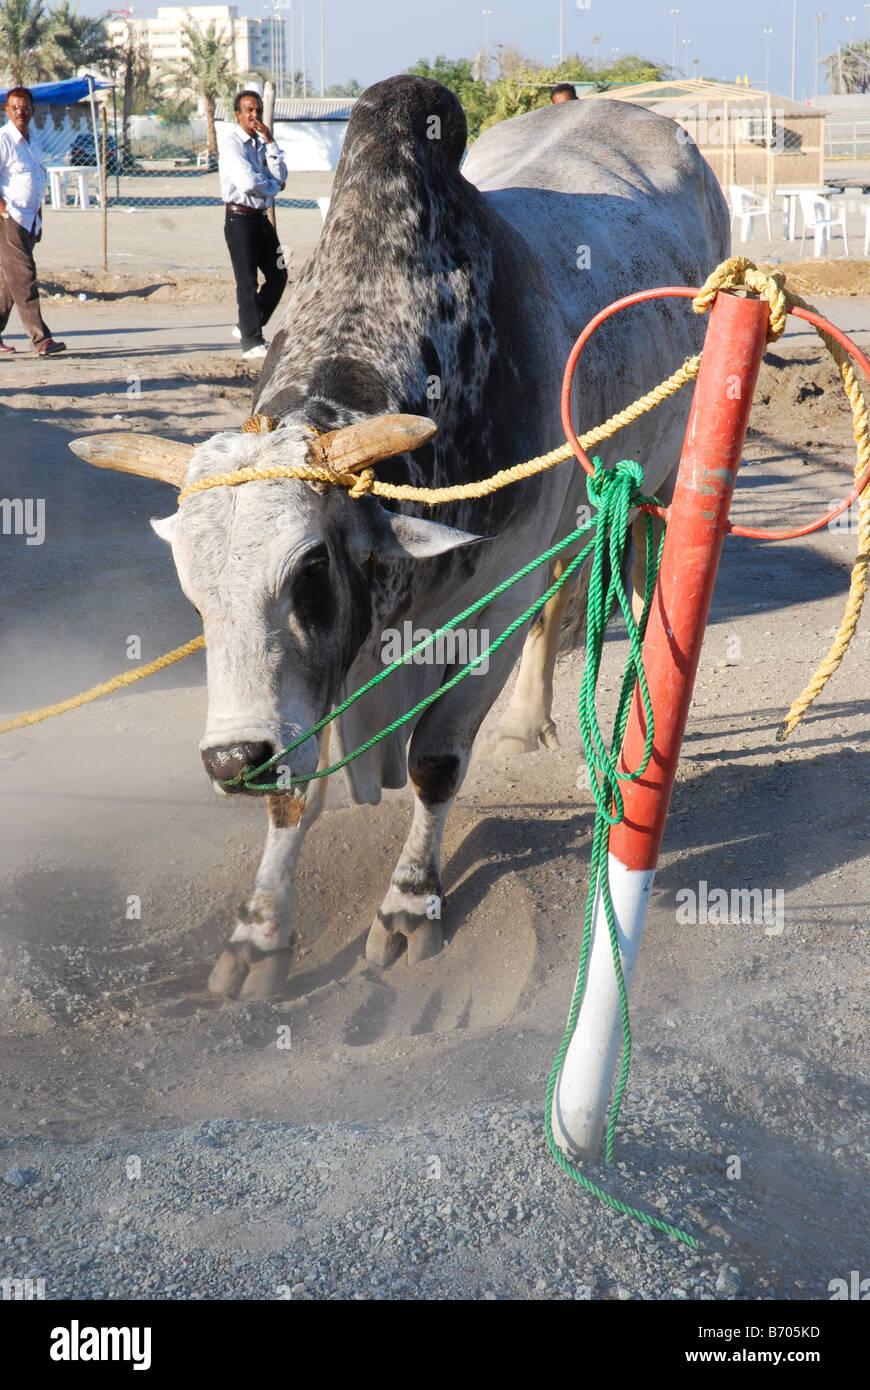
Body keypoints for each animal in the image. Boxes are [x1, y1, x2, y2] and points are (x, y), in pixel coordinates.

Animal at [71, 76, 729, 1000]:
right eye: (193, 589)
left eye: (310, 568)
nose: (231, 760)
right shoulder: (310, 689)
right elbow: (296, 791)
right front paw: (260, 931)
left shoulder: (490, 606)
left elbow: (435, 763)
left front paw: (411, 904)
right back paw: (527, 724)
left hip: (659, 484)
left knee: (636, 594)